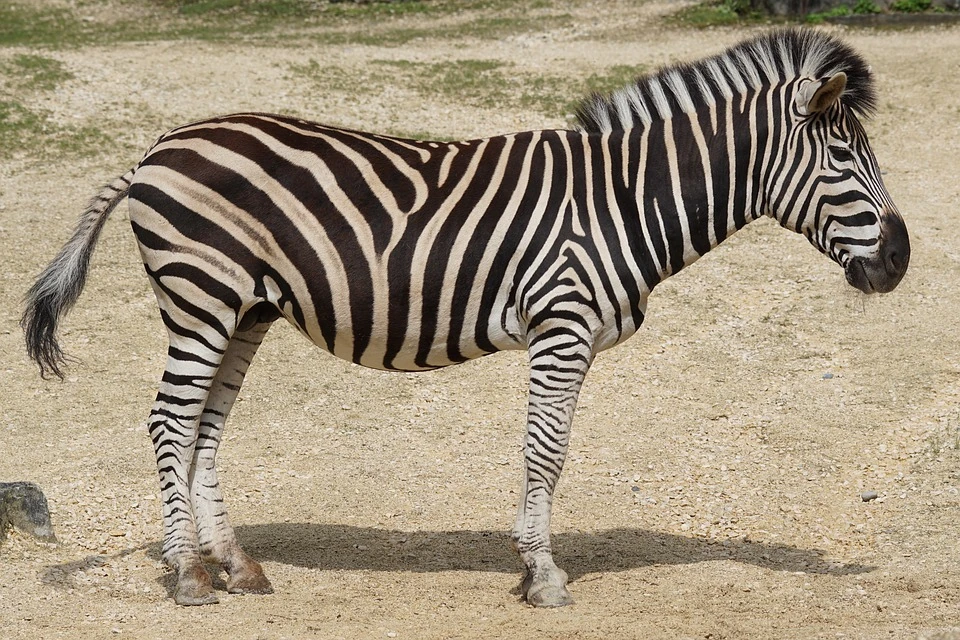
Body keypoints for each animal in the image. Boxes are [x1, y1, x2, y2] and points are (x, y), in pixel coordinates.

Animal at [22, 28, 909, 608]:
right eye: (843, 157)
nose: (900, 260)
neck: (625, 200)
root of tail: (157, 148)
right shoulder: (562, 326)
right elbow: (547, 451)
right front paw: (542, 575)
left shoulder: (569, 335)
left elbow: (550, 452)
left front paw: (530, 563)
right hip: (201, 295)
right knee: (170, 420)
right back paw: (186, 577)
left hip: (245, 308)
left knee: (204, 425)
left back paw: (234, 567)